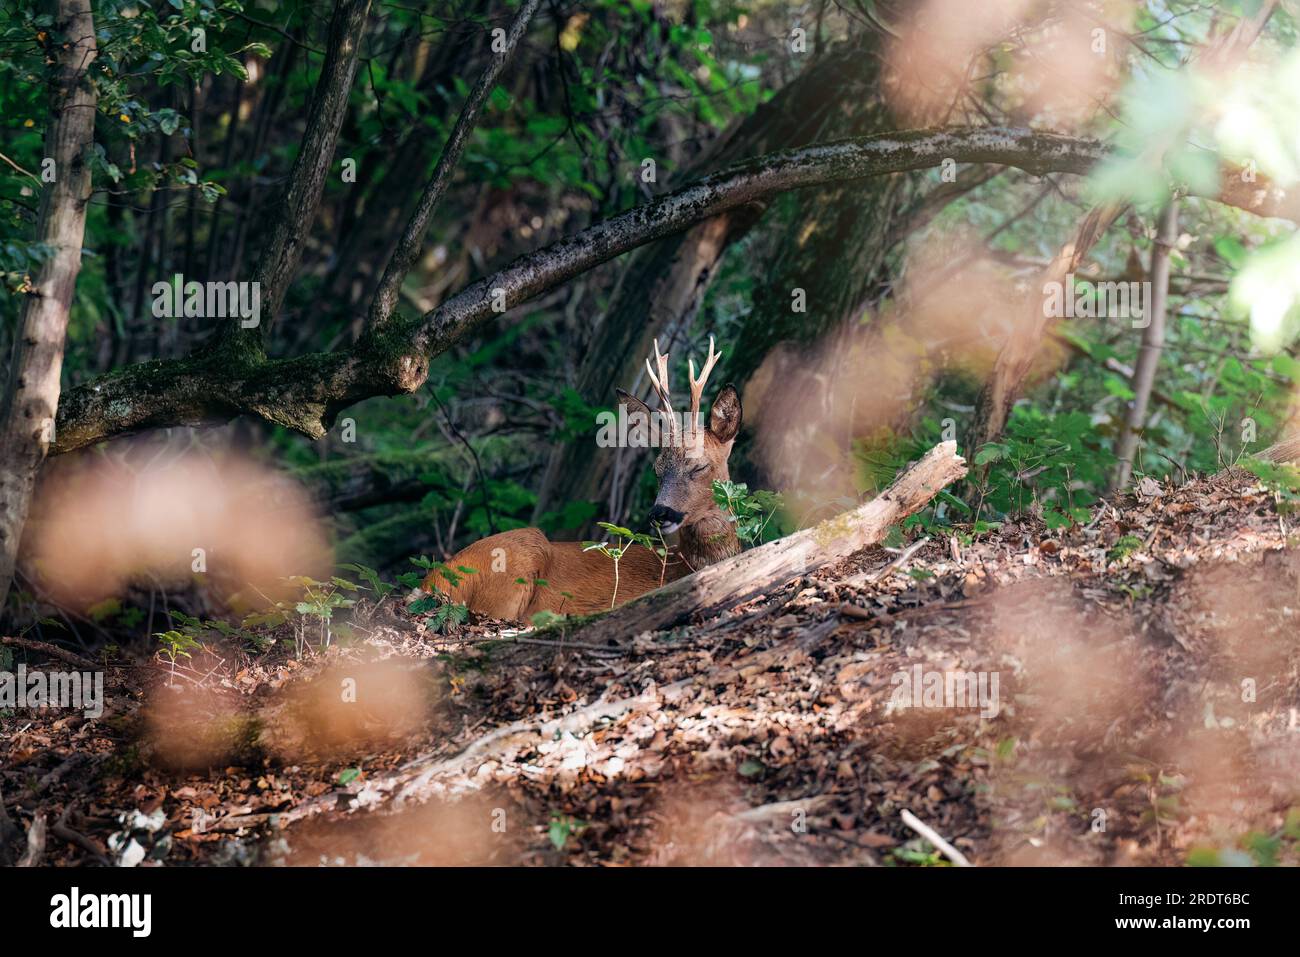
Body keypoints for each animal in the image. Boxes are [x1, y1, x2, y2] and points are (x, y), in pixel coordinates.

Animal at [421, 337, 742, 620]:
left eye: (699, 467)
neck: (682, 567)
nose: (660, 512)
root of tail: (431, 581)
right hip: (518, 558)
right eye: (657, 469)